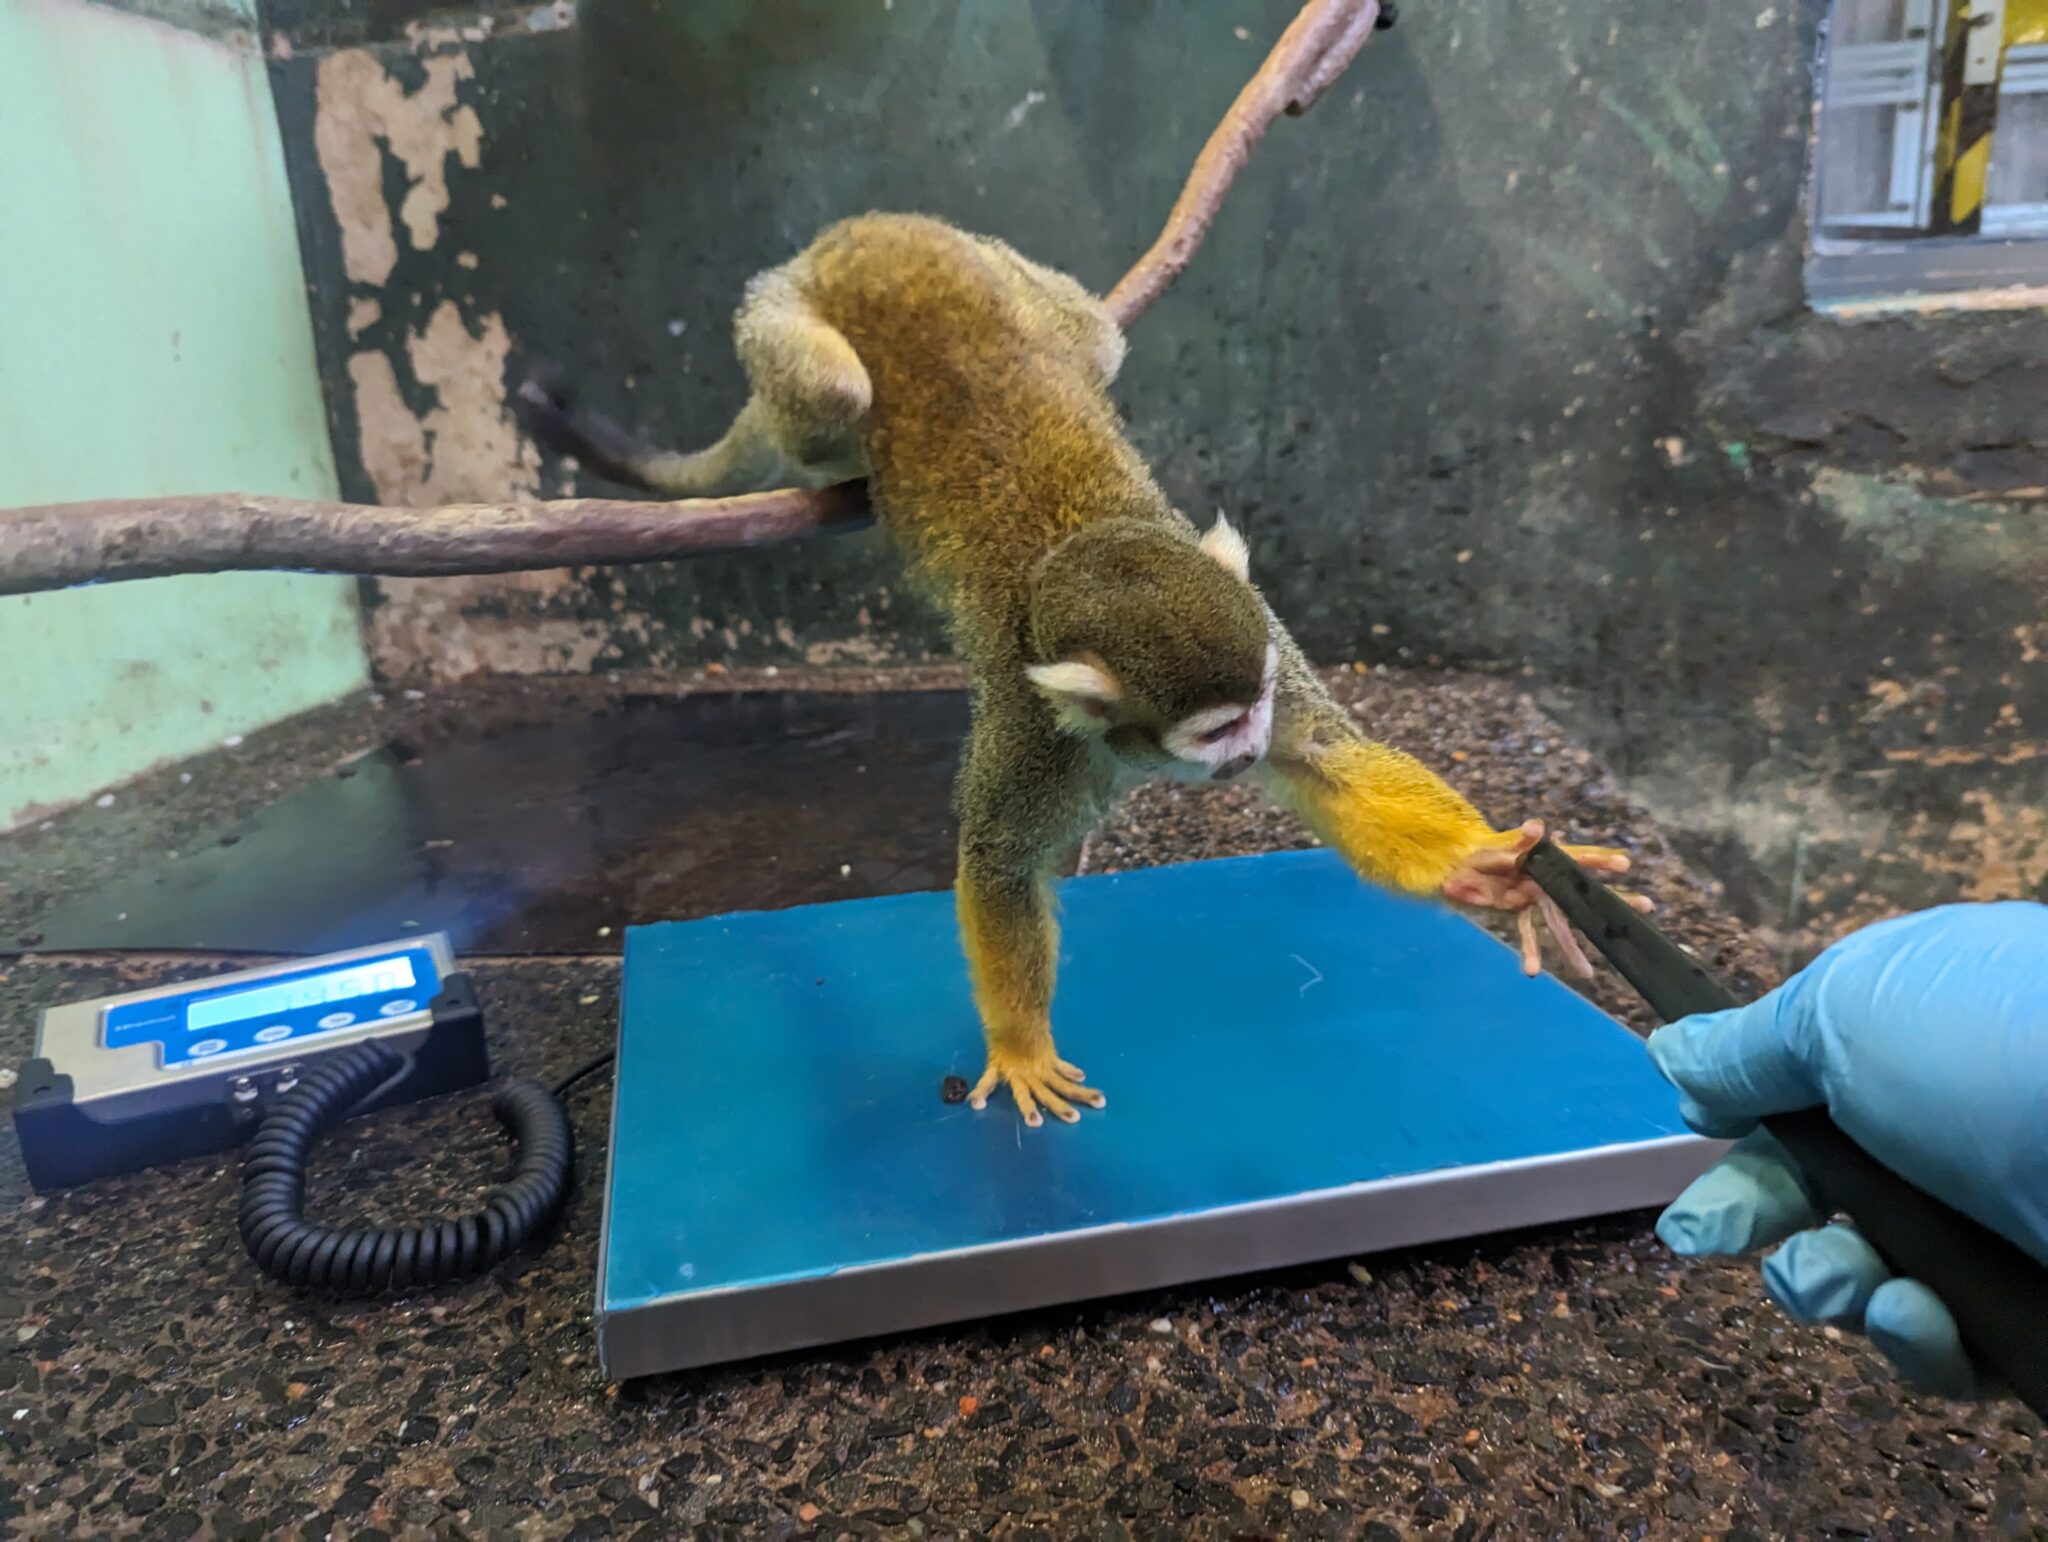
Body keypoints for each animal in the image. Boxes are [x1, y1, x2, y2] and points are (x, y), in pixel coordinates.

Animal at [517, 213, 1644, 1129]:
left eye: (1257, 709)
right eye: (1214, 731)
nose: (1245, 761)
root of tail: (869, 235)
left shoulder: (1266, 640)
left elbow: (1326, 756)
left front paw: (1481, 867)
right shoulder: (1033, 725)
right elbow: (999, 864)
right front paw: (1020, 1048)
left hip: (991, 270)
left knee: (1090, 341)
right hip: (785, 308)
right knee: (834, 390)